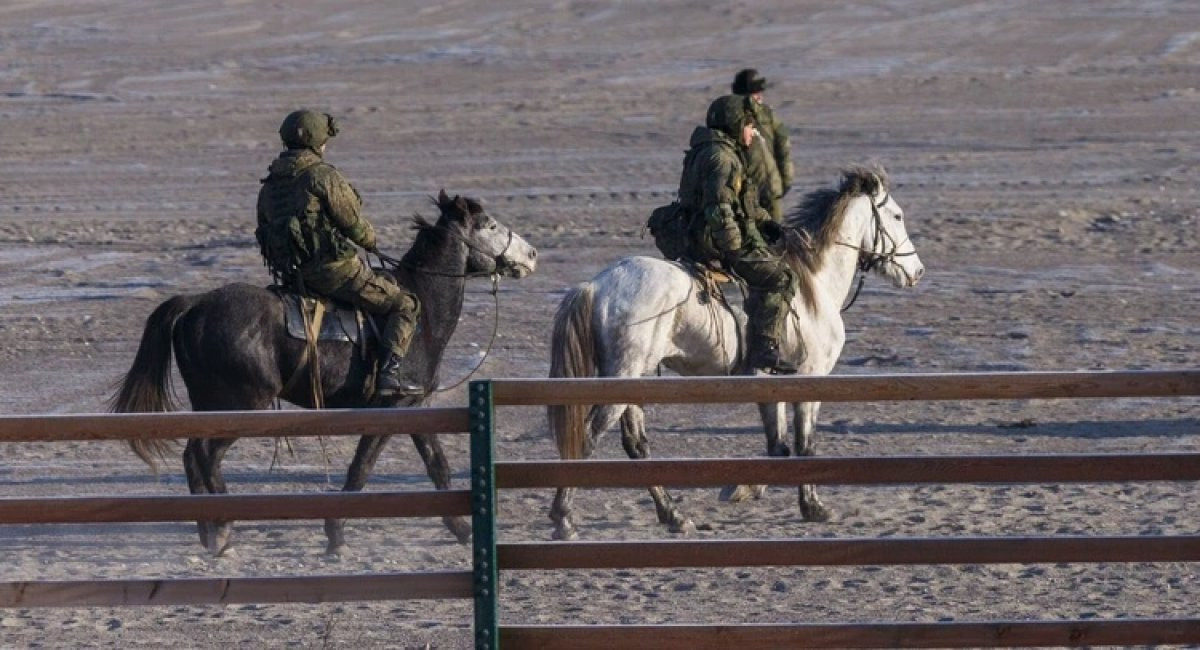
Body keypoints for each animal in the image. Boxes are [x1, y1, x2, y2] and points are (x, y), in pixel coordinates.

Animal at [111, 190, 538, 556]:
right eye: (489, 225)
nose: (532, 255)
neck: (425, 310)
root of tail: (196, 303)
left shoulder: (415, 406)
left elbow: (438, 468)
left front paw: (462, 530)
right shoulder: (389, 409)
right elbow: (360, 470)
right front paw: (335, 535)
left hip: (210, 404)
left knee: (191, 456)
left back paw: (207, 531)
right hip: (242, 404)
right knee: (205, 455)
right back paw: (224, 530)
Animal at [547, 166, 924, 540]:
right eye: (897, 215)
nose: (918, 271)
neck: (814, 284)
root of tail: (596, 285)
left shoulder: (770, 382)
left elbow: (778, 446)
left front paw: (744, 488)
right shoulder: (809, 378)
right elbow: (804, 446)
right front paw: (812, 507)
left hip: (635, 380)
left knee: (636, 445)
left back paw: (673, 515)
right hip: (622, 378)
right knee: (586, 437)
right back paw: (564, 517)